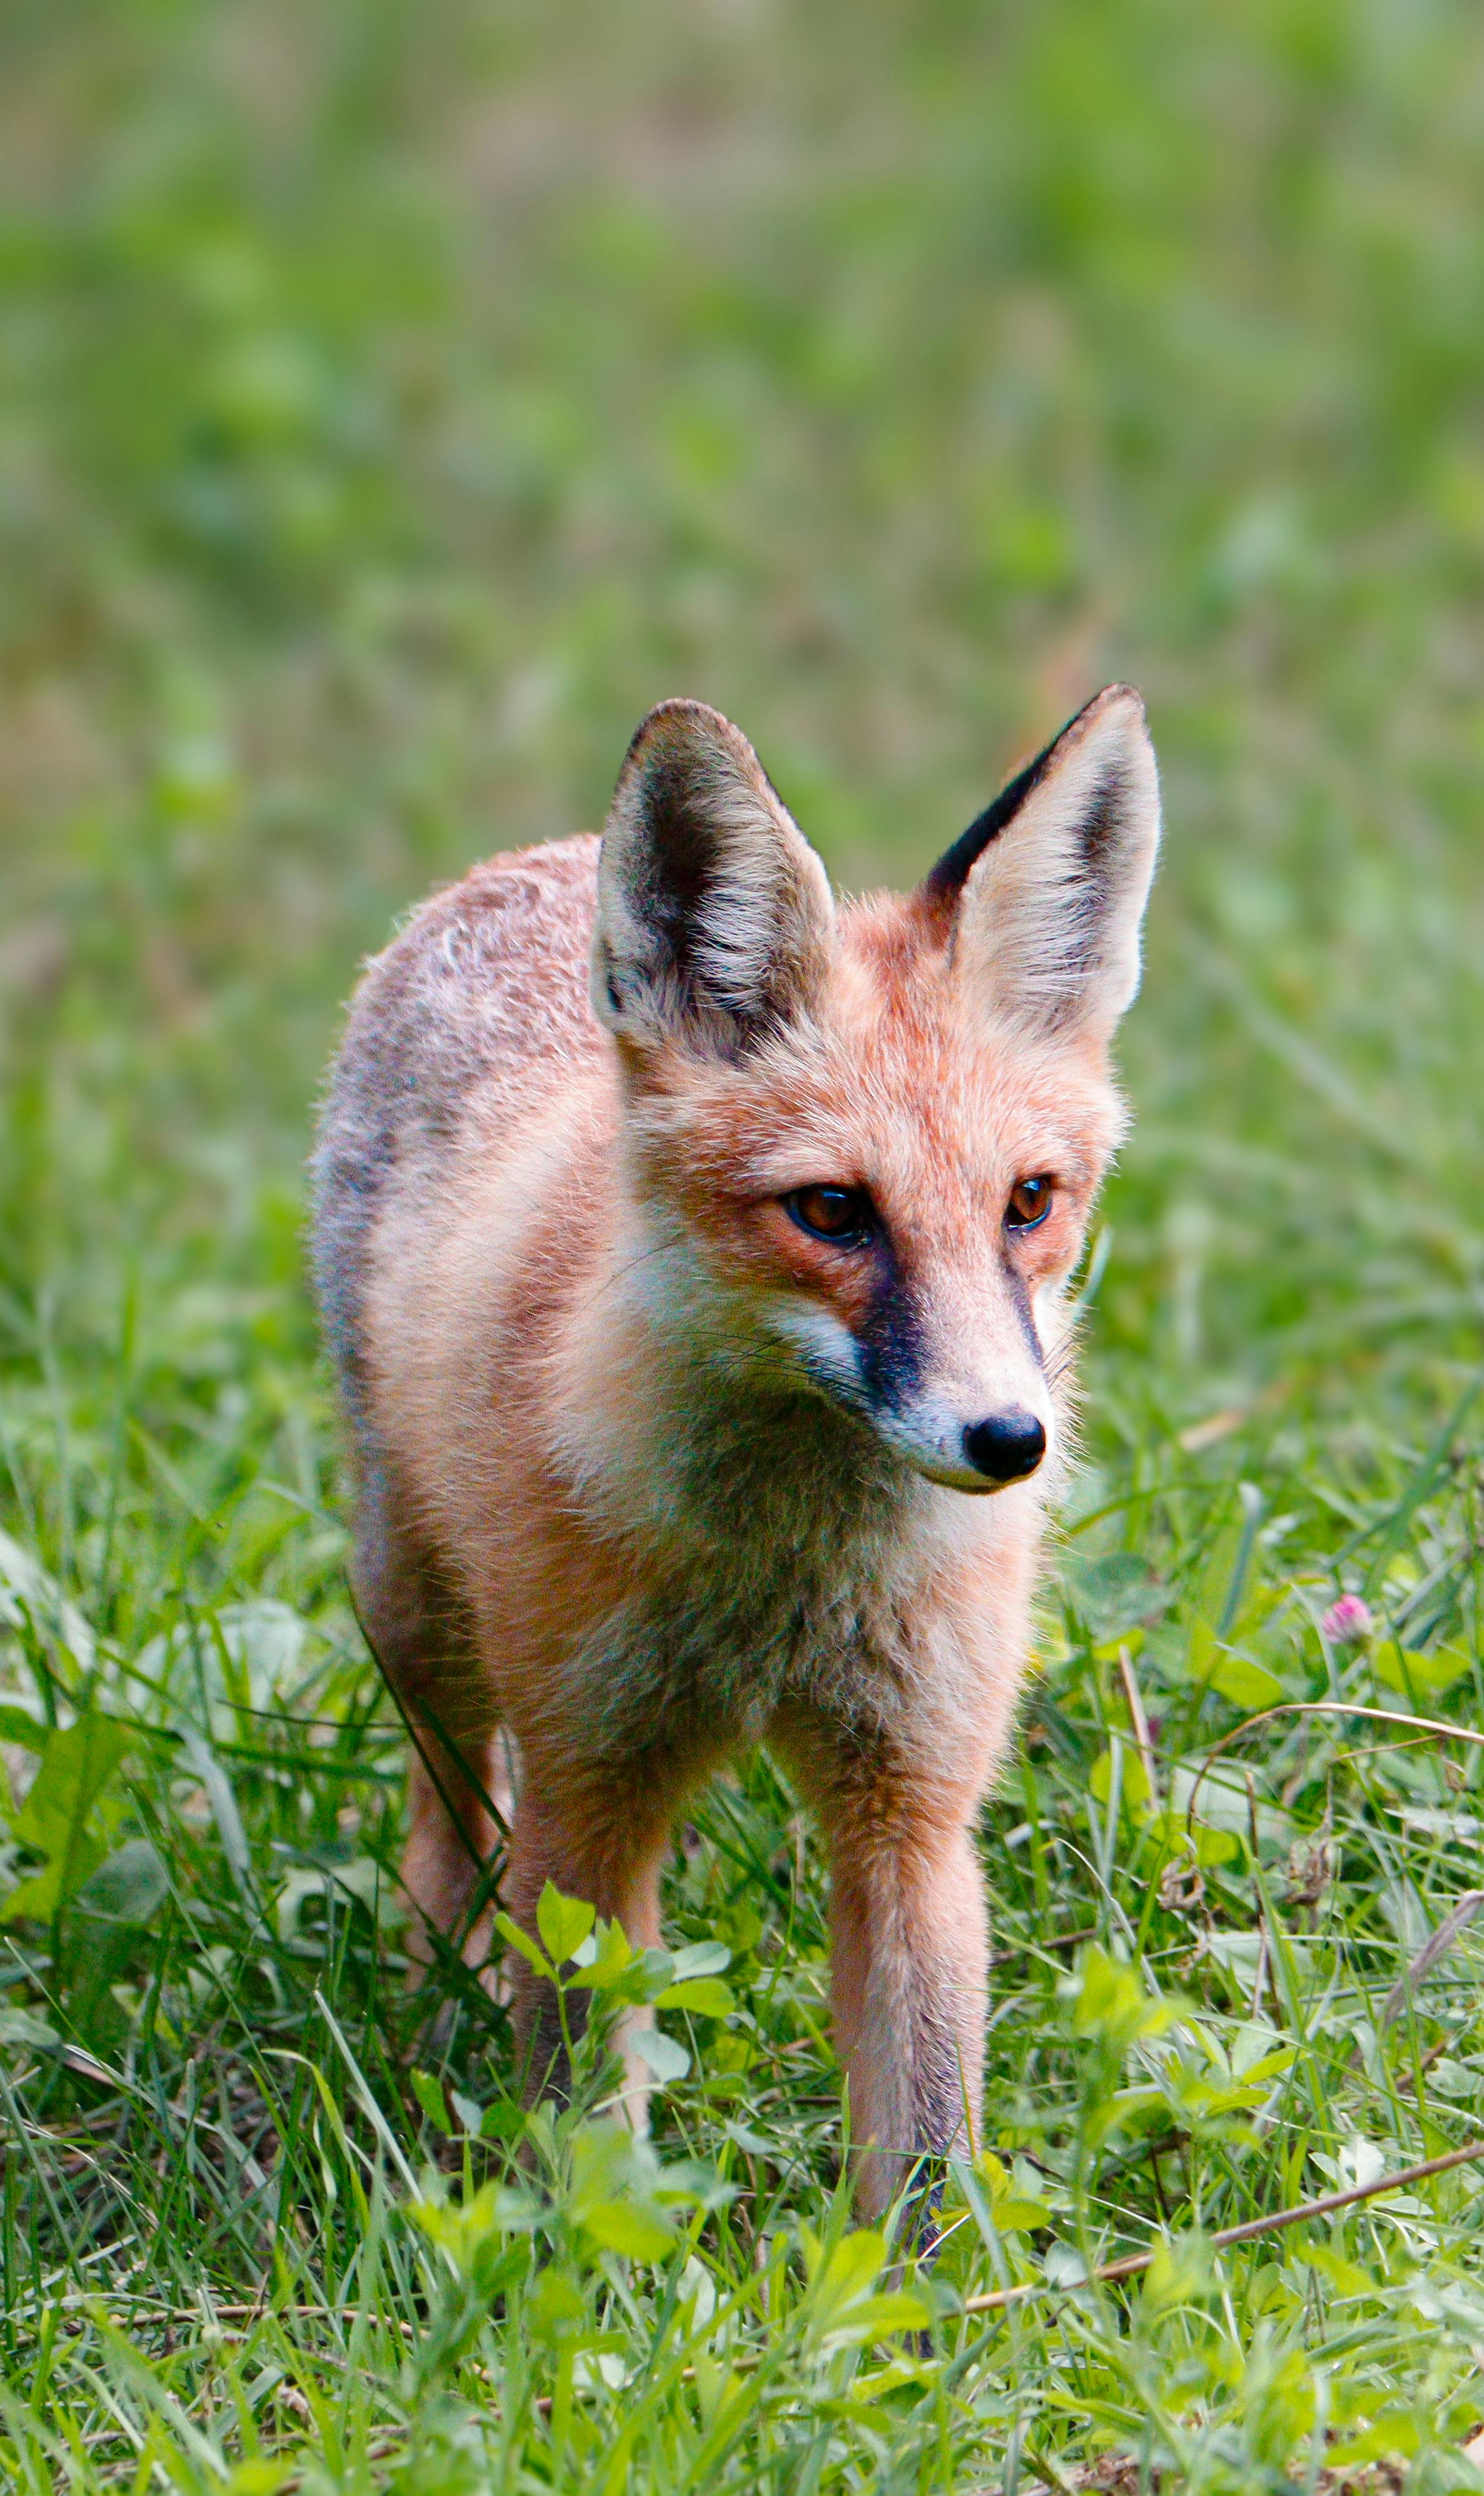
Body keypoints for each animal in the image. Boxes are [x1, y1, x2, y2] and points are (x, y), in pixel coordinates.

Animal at [311, 684, 1160, 2219]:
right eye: (830, 1211)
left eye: (1028, 1201)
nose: (1007, 1440)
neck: (785, 1578)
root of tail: (526, 862)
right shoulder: (589, 1793)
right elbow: (585, 2116)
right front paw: (583, 2261)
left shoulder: (913, 1805)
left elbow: (923, 2148)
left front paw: (924, 2289)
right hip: (421, 1619)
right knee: (447, 1823)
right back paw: (428, 2002)